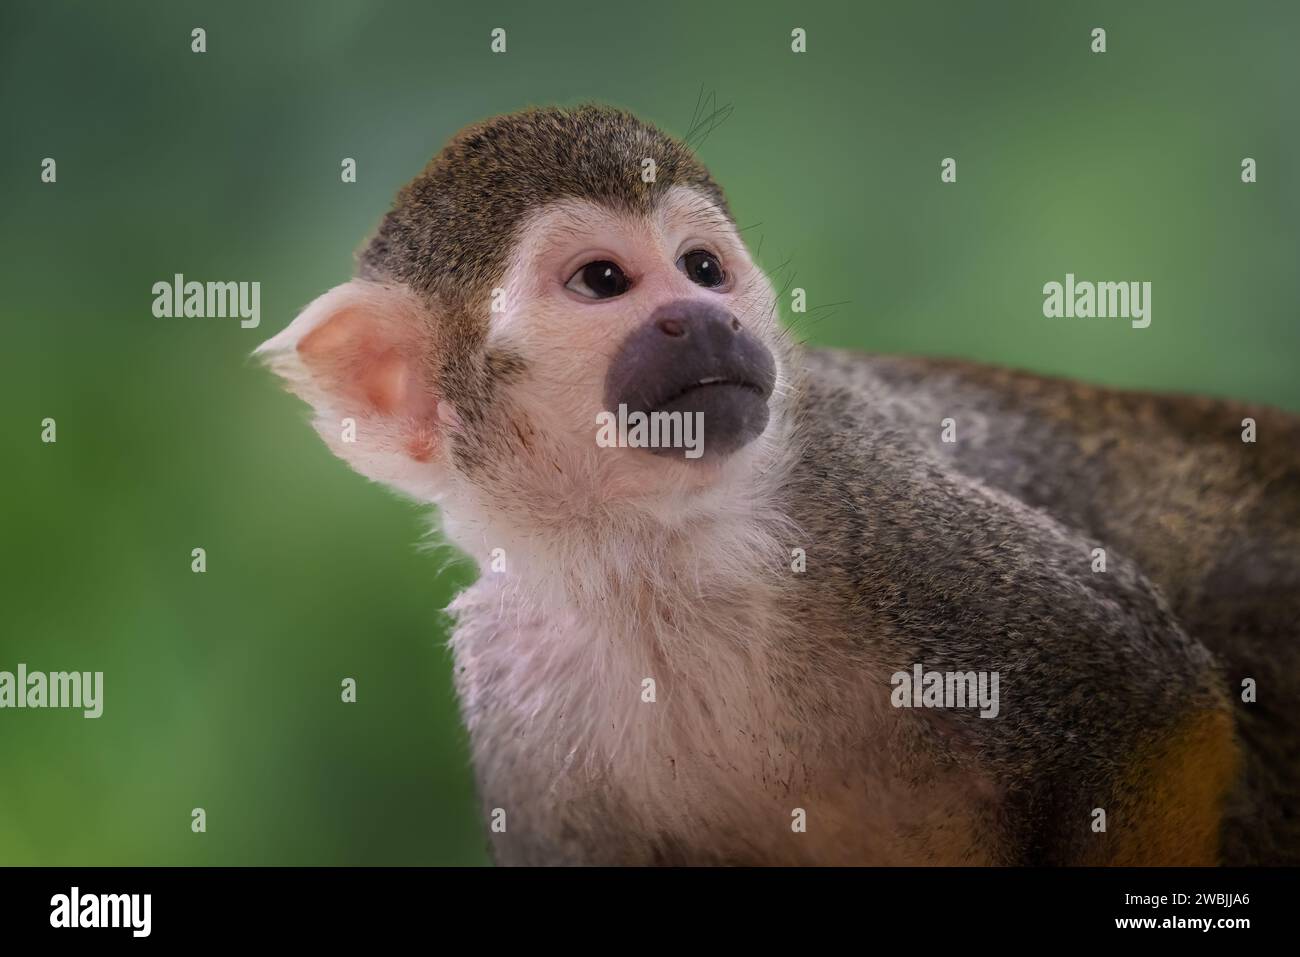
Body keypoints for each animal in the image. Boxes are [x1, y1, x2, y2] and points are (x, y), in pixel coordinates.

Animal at [257, 104, 1299, 866]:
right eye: (602, 280)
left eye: (702, 268)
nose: (704, 318)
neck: (651, 554)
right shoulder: (509, 680)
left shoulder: (867, 504)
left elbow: (1145, 696)